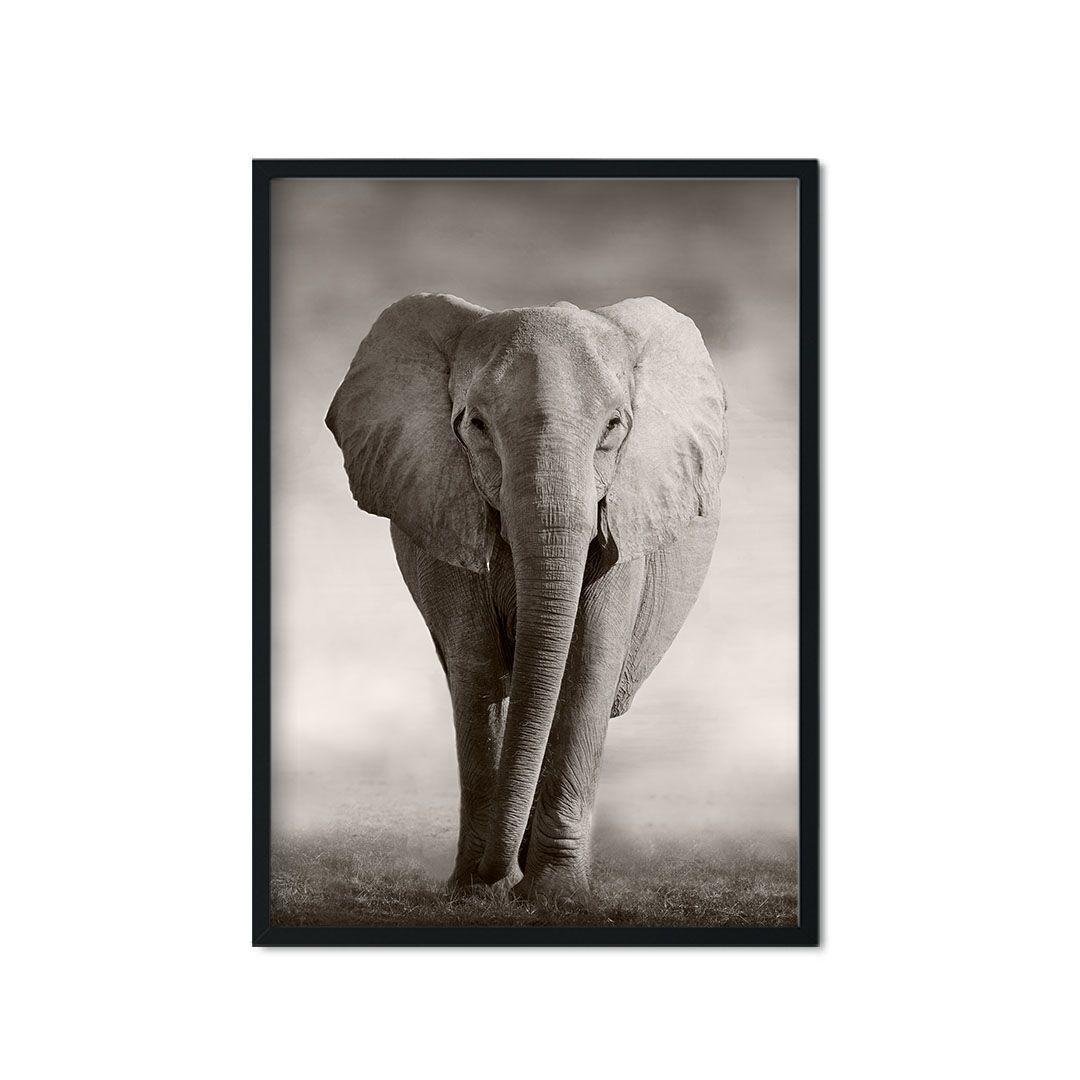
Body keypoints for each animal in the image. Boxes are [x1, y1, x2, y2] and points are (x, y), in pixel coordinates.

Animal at [326, 292, 728, 904]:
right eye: (476, 425)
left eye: (614, 426)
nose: (498, 880)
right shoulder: (444, 508)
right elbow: (477, 667)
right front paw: (475, 891)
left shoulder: (624, 516)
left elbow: (586, 666)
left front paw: (556, 896)